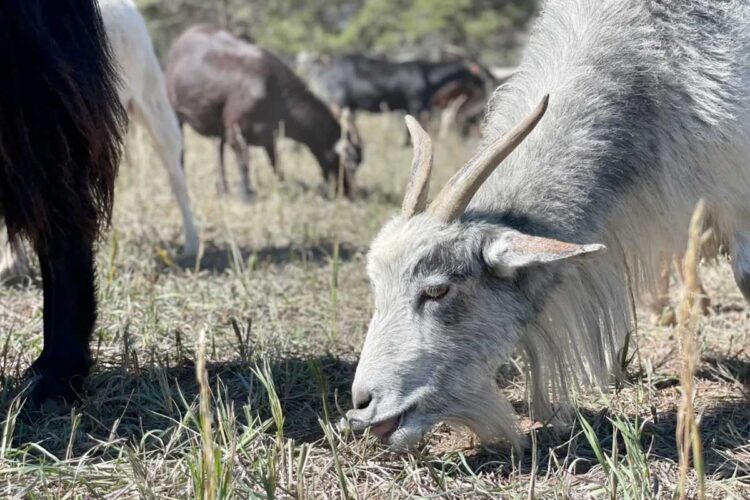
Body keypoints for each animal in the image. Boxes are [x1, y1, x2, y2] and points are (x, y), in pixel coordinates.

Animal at [166, 25, 363, 200]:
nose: (350, 193)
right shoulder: (235, 132)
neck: (274, 92)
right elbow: (244, 165)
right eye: (349, 164)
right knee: (179, 151)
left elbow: (276, 164)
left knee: (217, 150)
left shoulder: (269, 137)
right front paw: (245, 196)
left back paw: (223, 190)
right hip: (175, 112)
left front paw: (283, 188)